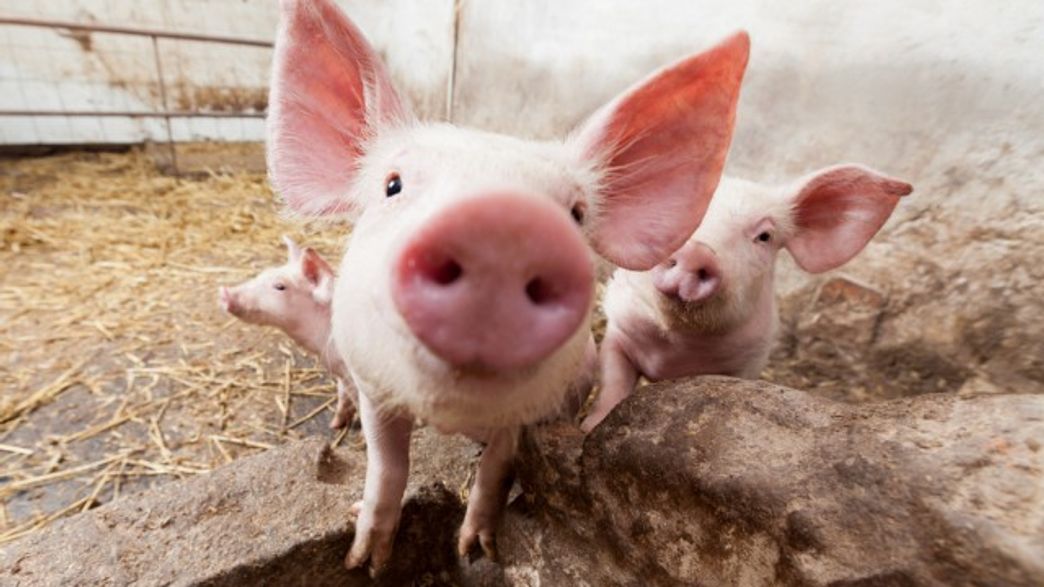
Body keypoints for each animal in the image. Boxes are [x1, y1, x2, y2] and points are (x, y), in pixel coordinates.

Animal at [266, 0, 749, 572]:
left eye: (576, 213)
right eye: (393, 185)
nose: (502, 223)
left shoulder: (533, 412)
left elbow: (497, 468)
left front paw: (477, 551)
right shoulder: (372, 387)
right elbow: (387, 467)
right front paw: (365, 560)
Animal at [580, 165, 913, 432]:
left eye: (764, 237)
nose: (697, 252)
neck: (676, 347)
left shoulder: (749, 361)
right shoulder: (619, 331)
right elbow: (613, 383)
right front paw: (589, 427)